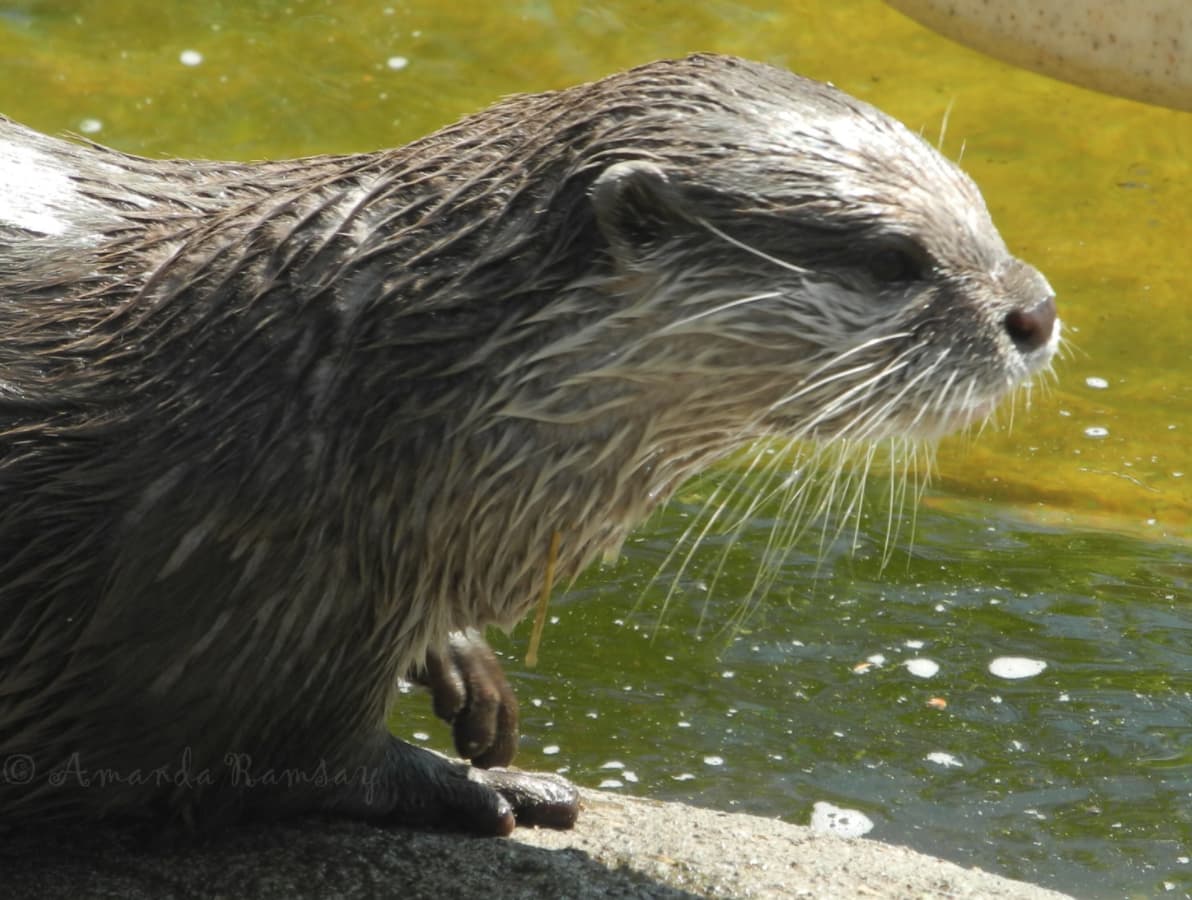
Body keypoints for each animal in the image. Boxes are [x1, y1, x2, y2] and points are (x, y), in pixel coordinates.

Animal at [0, 53, 1058, 835]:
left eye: (981, 211)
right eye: (894, 260)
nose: (1036, 311)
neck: (330, 400)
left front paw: (466, 671)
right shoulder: (235, 618)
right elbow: (281, 763)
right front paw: (485, 789)